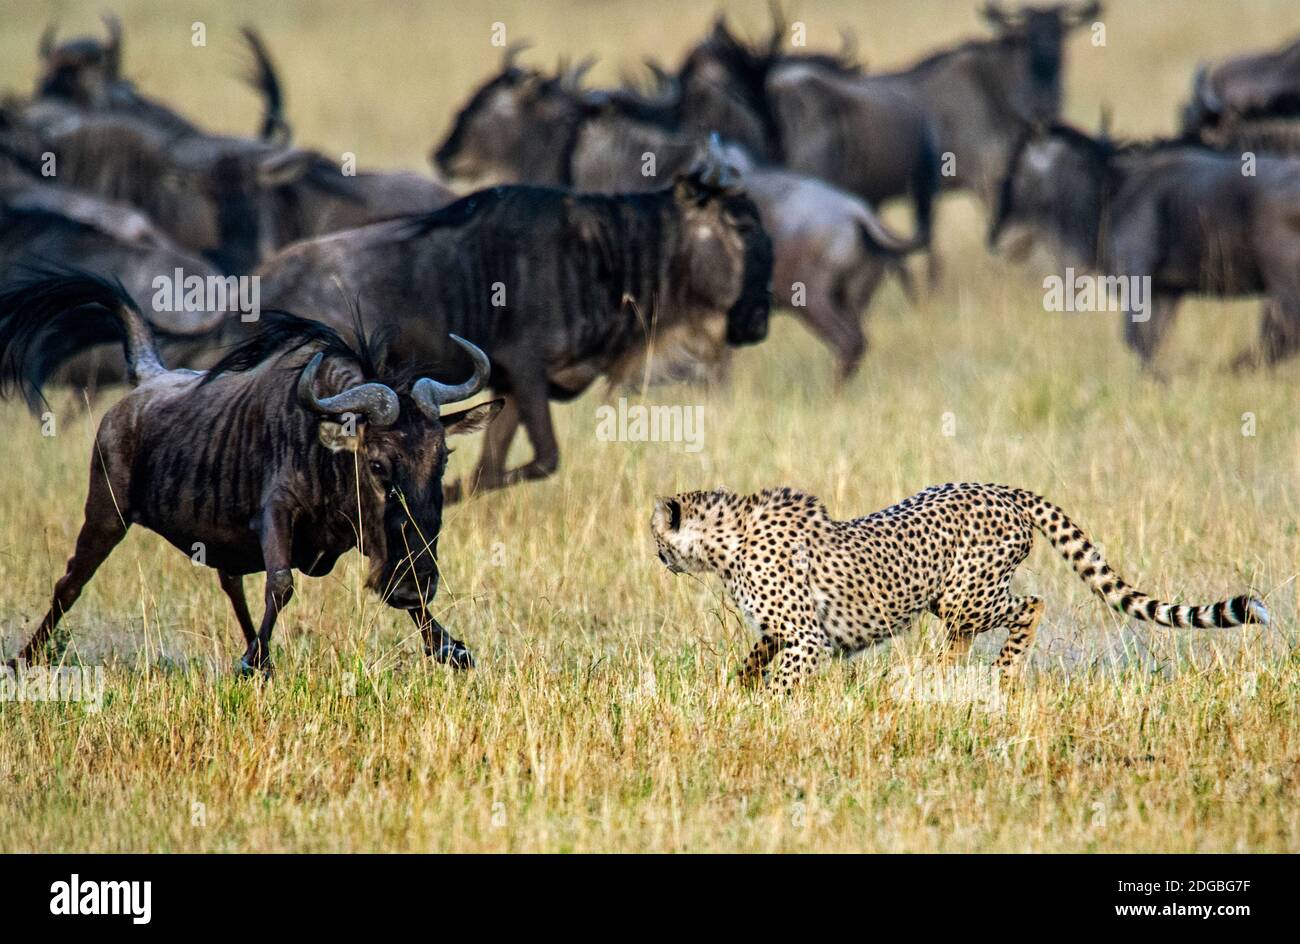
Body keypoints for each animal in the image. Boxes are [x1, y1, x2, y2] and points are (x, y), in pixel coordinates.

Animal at [650, 482, 1269, 691]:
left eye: (657, 537)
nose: (658, 559)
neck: (726, 539)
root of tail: (1004, 488)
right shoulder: (783, 632)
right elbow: (756, 657)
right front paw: (735, 690)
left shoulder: (807, 638)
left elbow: (781, 683)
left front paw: (766, 714)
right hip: (952, 600)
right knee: (962, 638)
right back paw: (934, 675)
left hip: (967, 593)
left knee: (1030, 603)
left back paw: (1003, 671)